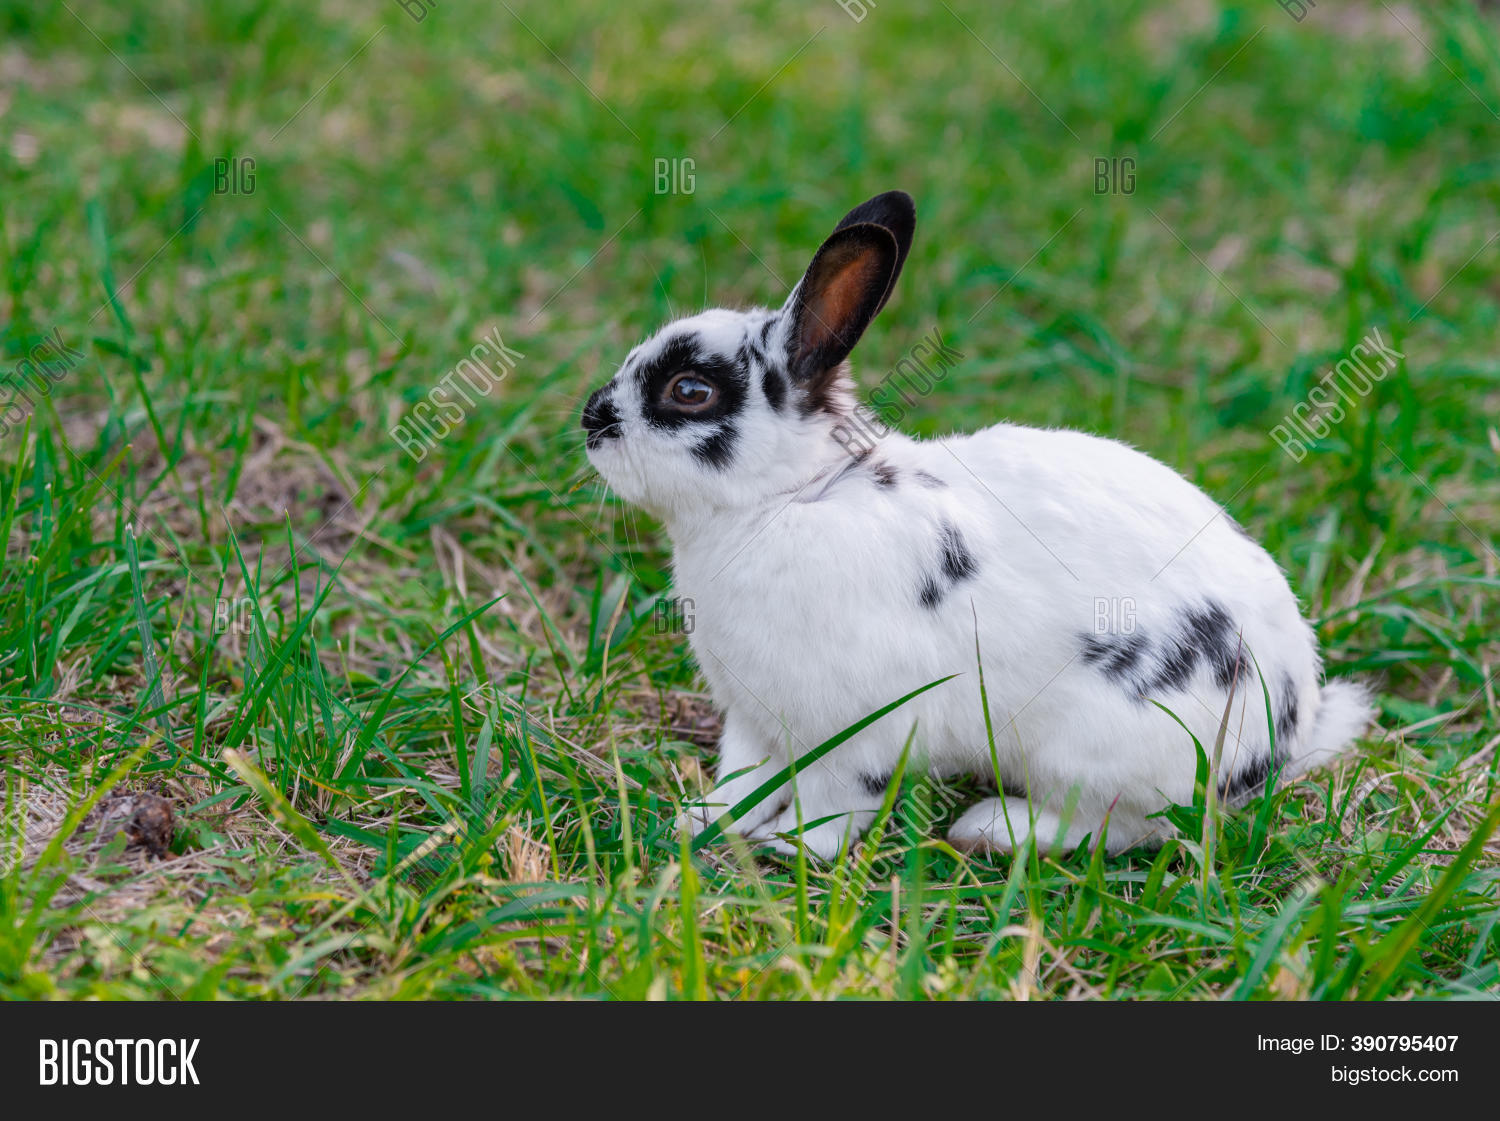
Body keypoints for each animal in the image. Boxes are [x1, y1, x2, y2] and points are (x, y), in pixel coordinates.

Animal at [581, 190, 1373, 860]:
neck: (793, 495)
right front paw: (700, 821)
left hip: (1095, 750)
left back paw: (992, 827)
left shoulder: (861, 728)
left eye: (690, 390)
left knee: (1119, 826)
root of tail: (1286, 731)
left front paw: (793, 849)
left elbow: (834, 801)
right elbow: (744, 780)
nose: (591, 419)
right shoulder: (752, 715)